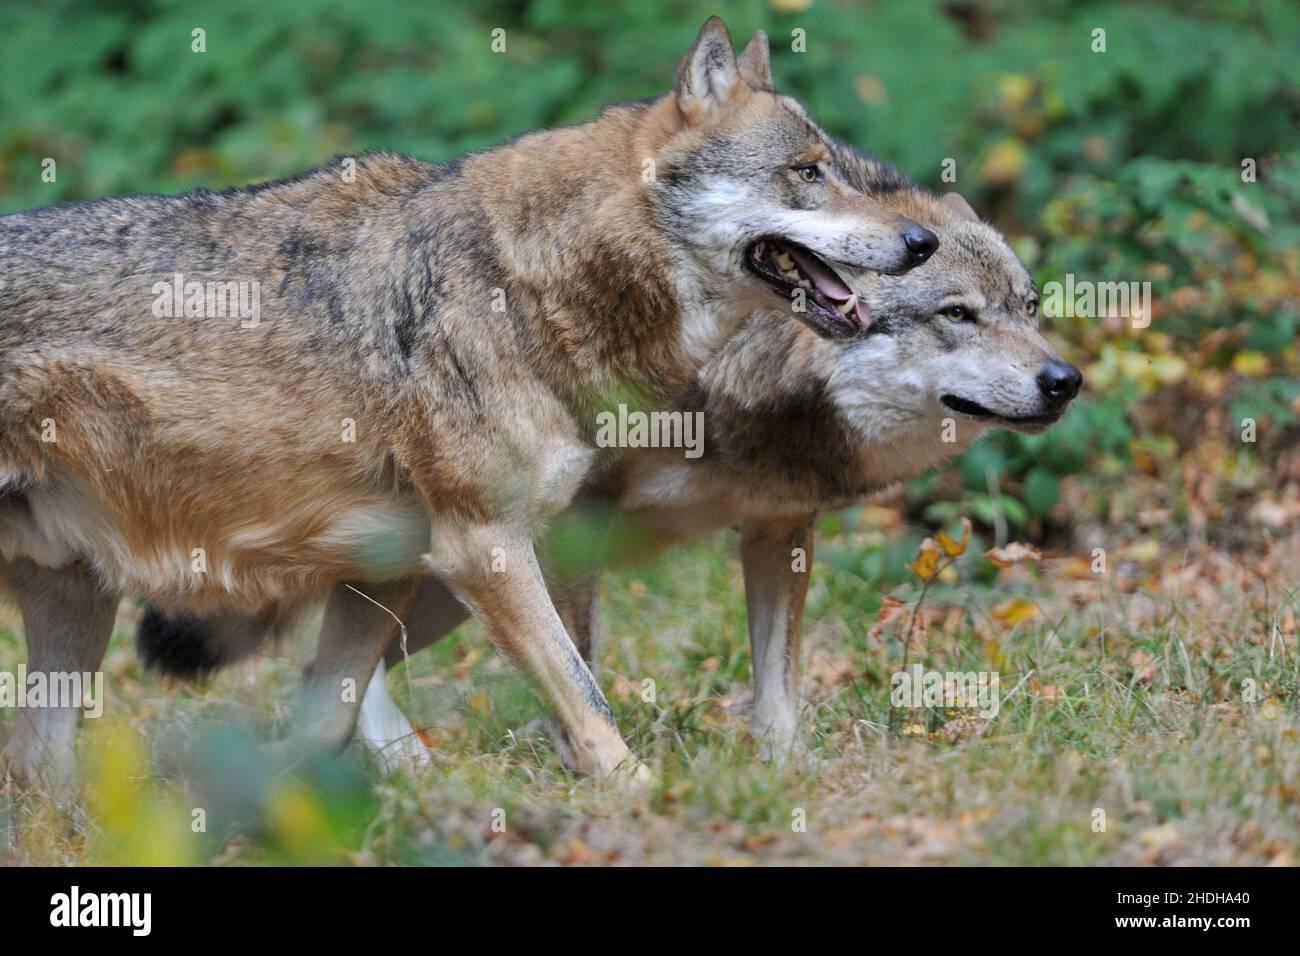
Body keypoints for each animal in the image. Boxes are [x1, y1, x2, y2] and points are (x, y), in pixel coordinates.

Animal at [0, 18, 936, 795]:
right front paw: (643, 801)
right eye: (807, 173)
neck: (526, 282)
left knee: (37, 768)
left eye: (838, 169)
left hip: (76, 607)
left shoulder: (383, 572)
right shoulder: (485, 547)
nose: (923, 241)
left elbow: (323, 724)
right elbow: (586, 698)